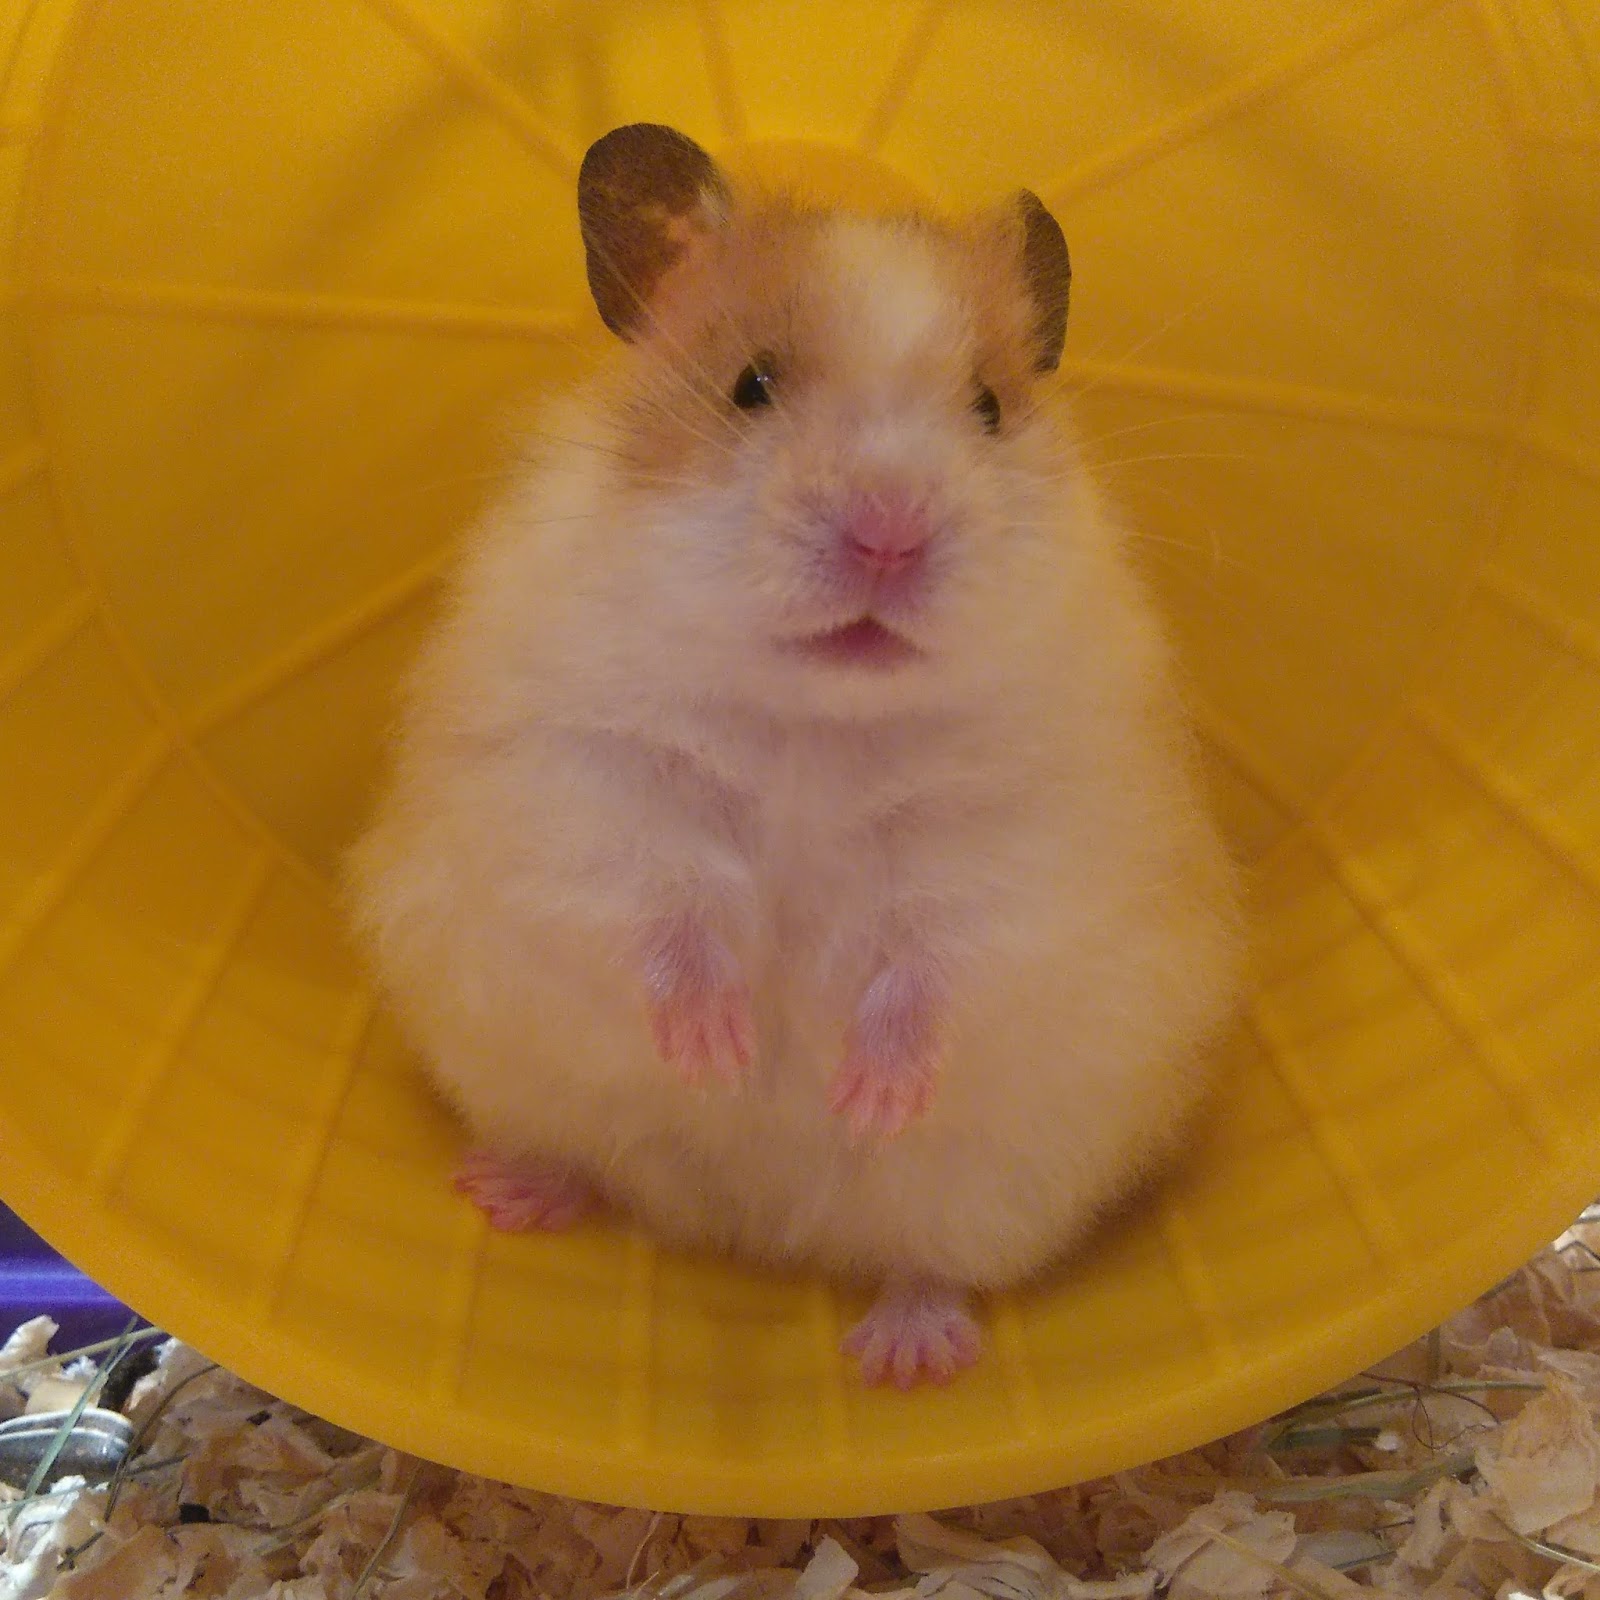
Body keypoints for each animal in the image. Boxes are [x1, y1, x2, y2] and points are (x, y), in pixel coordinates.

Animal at [346, 123, 1242, 1390]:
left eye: (988, 406)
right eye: (750, 385)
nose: (889, 532)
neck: (819, 721)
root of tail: (747, 1228)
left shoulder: (1020, 838)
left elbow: (929, 961)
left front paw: (858, 1096)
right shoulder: (590, 779)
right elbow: (669, 910)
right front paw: (717, 1057)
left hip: (983, 1195)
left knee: (930, 1262)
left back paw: (904, 1356)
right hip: (525, 1075)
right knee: (581, 1156)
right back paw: (507, 1192)